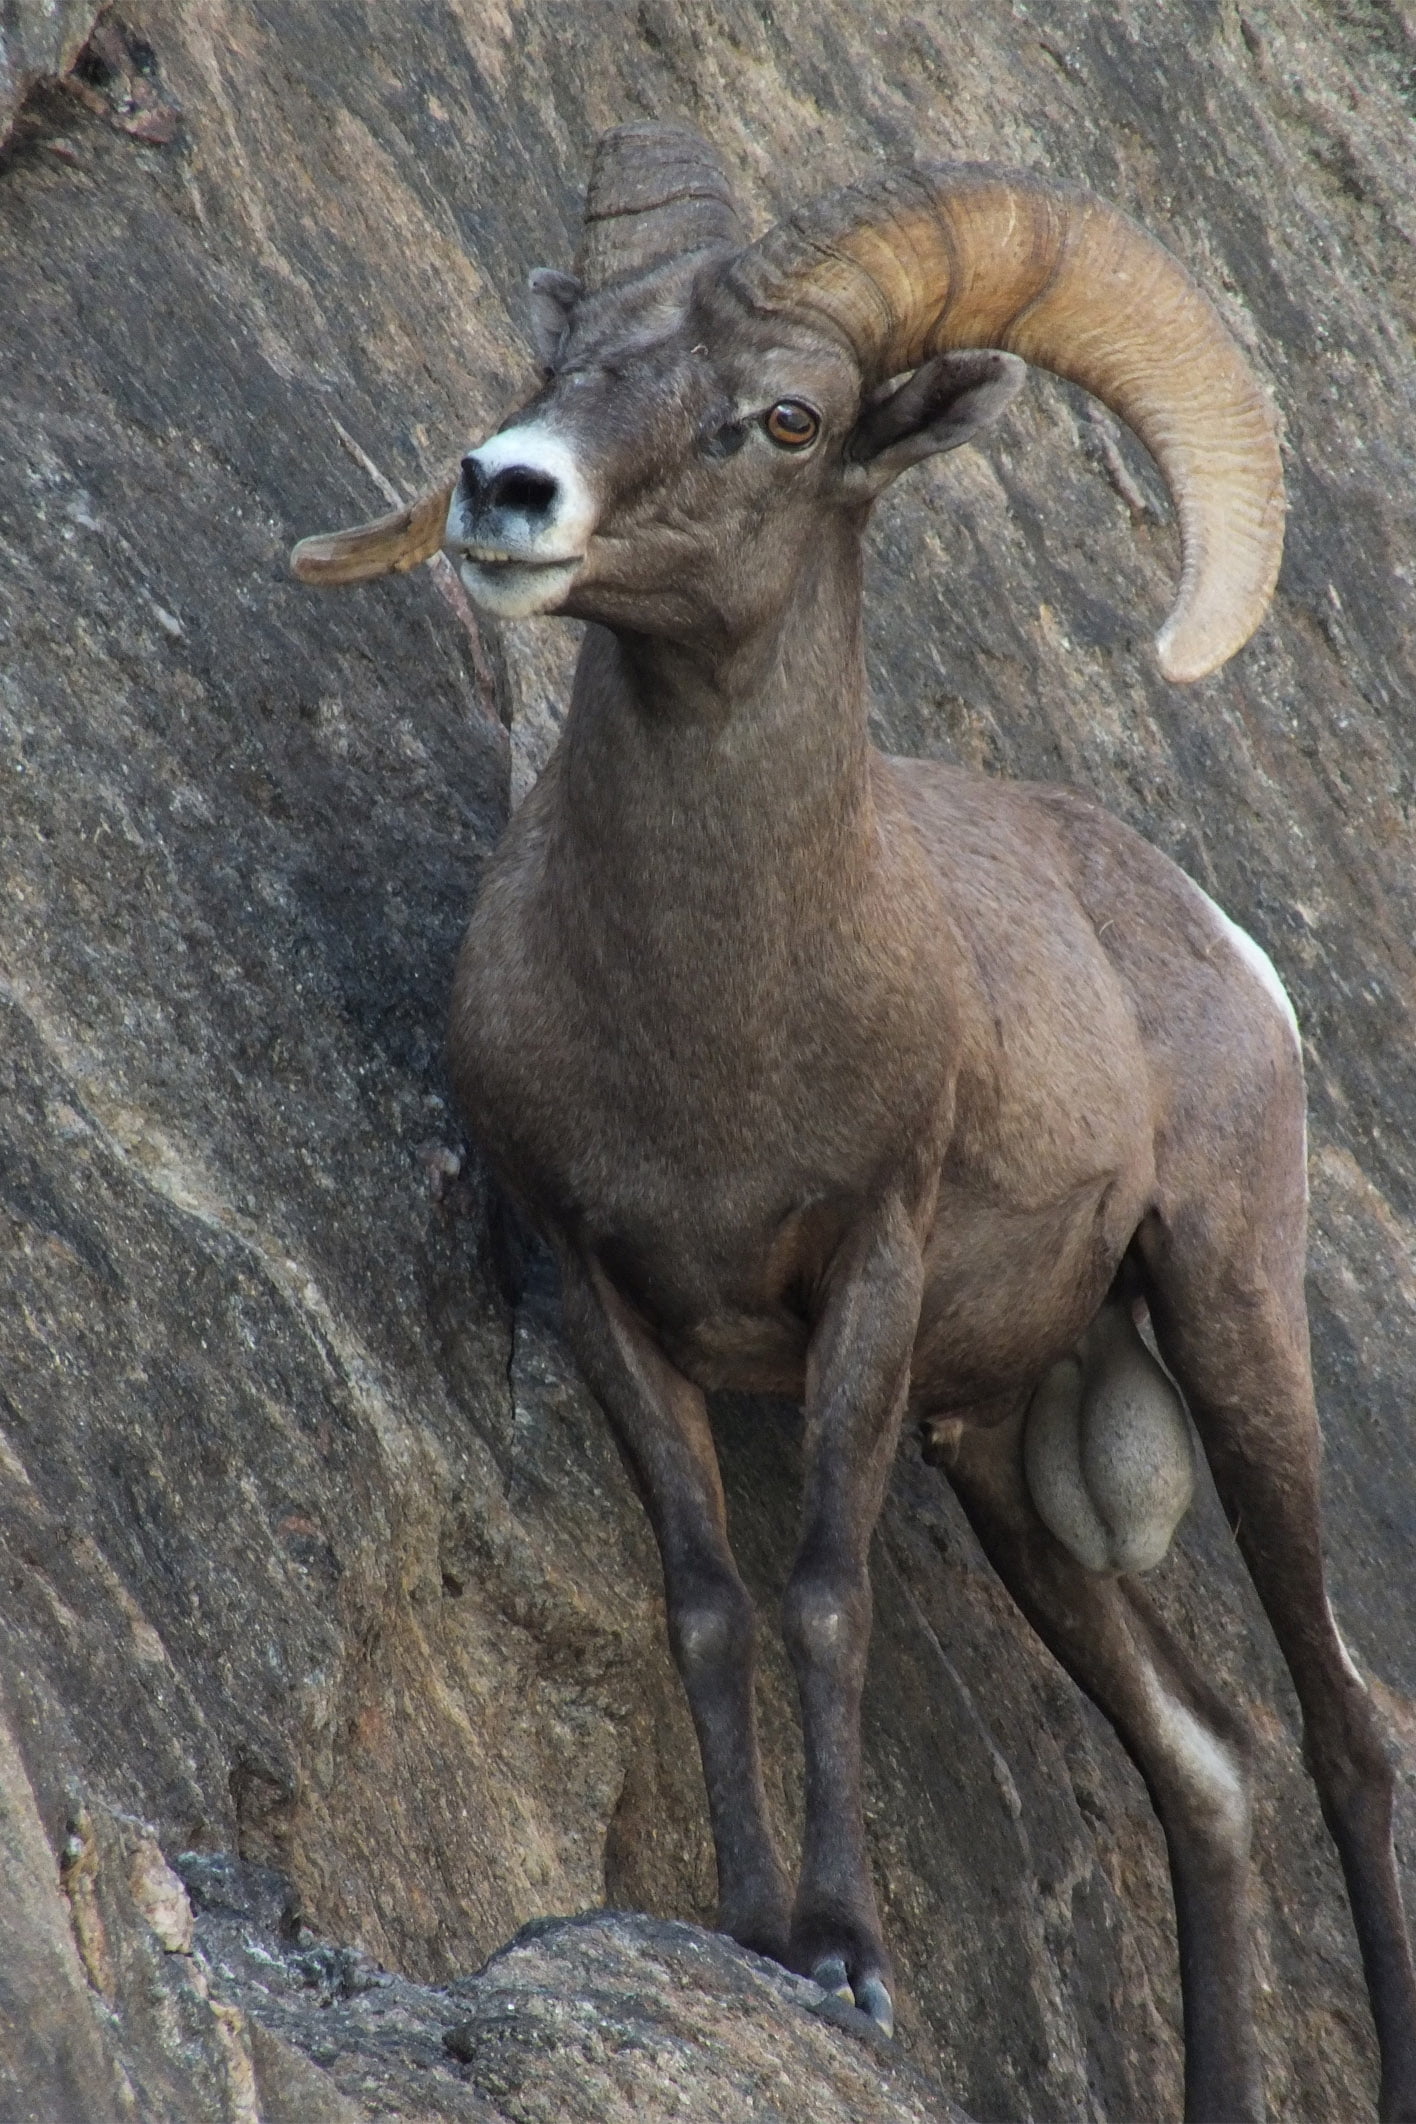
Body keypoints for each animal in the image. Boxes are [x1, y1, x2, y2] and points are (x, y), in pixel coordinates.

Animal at [292, 125, 1416, 2121]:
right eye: (567, 348)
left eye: (787, 418)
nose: (504, 487)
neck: (716, 1015)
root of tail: (1221, 945)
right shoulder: (601, 1287)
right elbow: (709, 1600)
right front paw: (753, 1931)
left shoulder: (865, 1281)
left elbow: (823, 1596)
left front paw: (845, 1955)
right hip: (1004, 1460)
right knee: (1205, 1759)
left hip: (1228, 1325)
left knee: (1344, 1729)